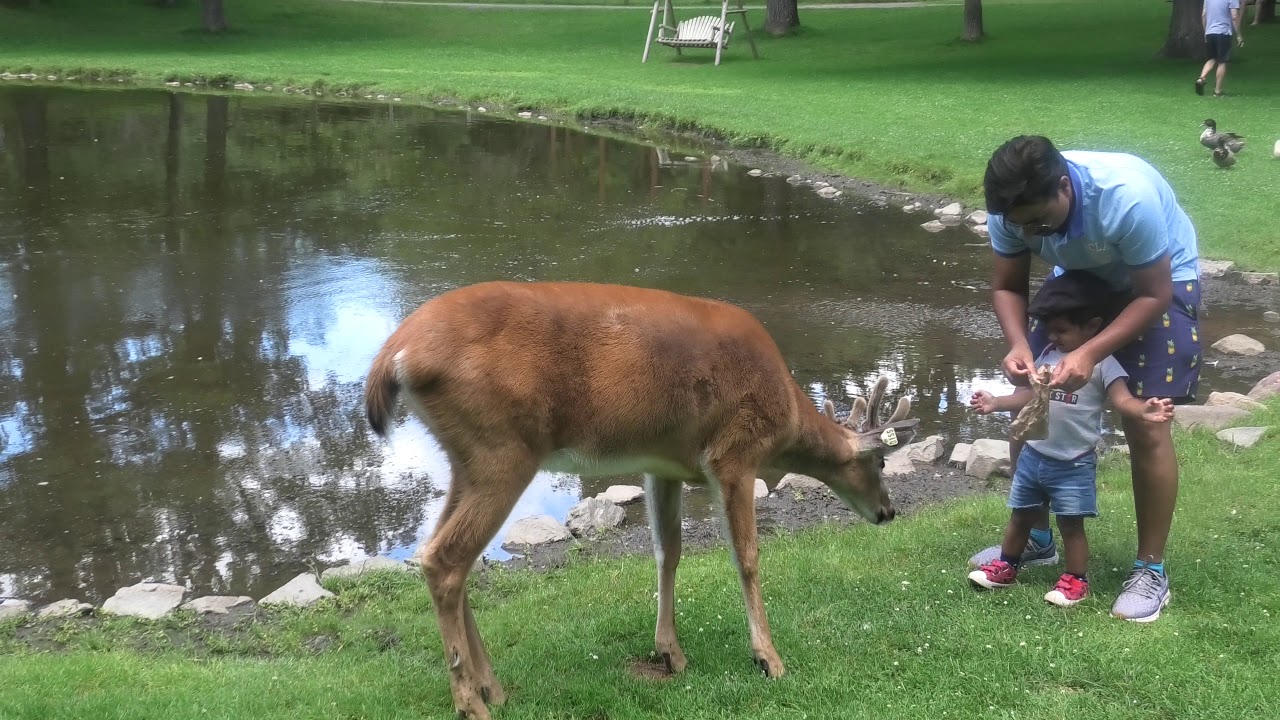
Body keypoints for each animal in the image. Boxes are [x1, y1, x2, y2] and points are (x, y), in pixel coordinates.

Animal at [363, 281, 919, 719]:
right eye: (880, 463)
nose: (888, 511)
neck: (783, 416)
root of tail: (394, 353)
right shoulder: (733, 453)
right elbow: (747, 557)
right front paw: (769, 658)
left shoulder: (663, 464)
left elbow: (667, 552)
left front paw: (671, 653)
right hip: (501, 448)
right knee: (445, 559)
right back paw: (470, 702)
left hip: (468, 457)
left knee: (442, 554)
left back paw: (491, 688)